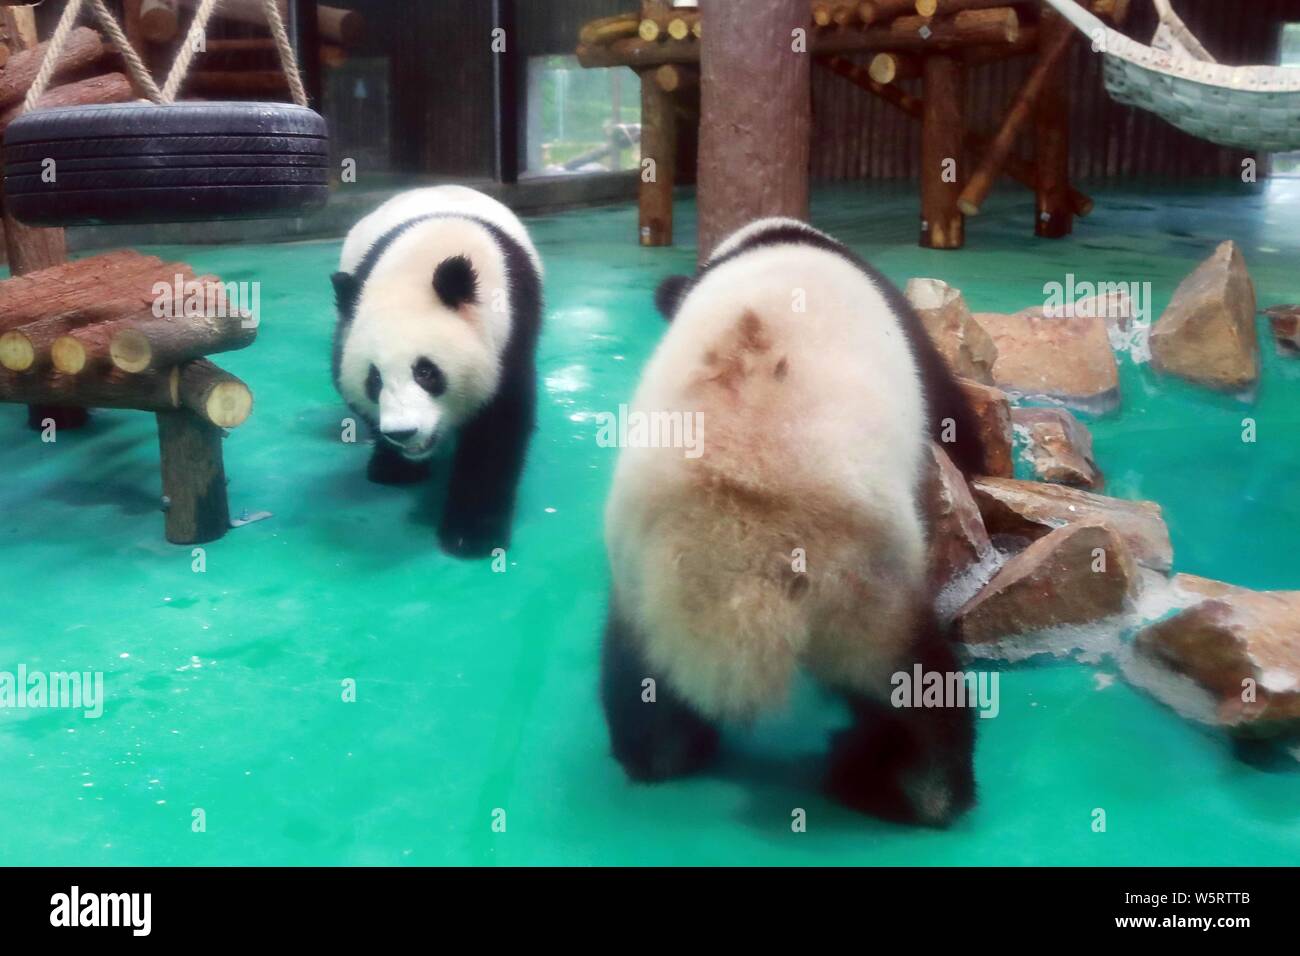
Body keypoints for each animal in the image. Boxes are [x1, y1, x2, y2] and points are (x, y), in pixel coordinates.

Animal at [331, 186, 543, 557]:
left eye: (426, 372)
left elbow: (498, 426)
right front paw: (394, 466)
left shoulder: (510, 336)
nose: (403, 432)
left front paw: (471, 535)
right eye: (374, 379)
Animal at [601, 218, 984, 827]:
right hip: (864, 583)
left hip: (643, 585)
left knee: (639, 687)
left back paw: (659, 754)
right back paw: (907, 784)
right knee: (915, 688)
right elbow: (951, 414)